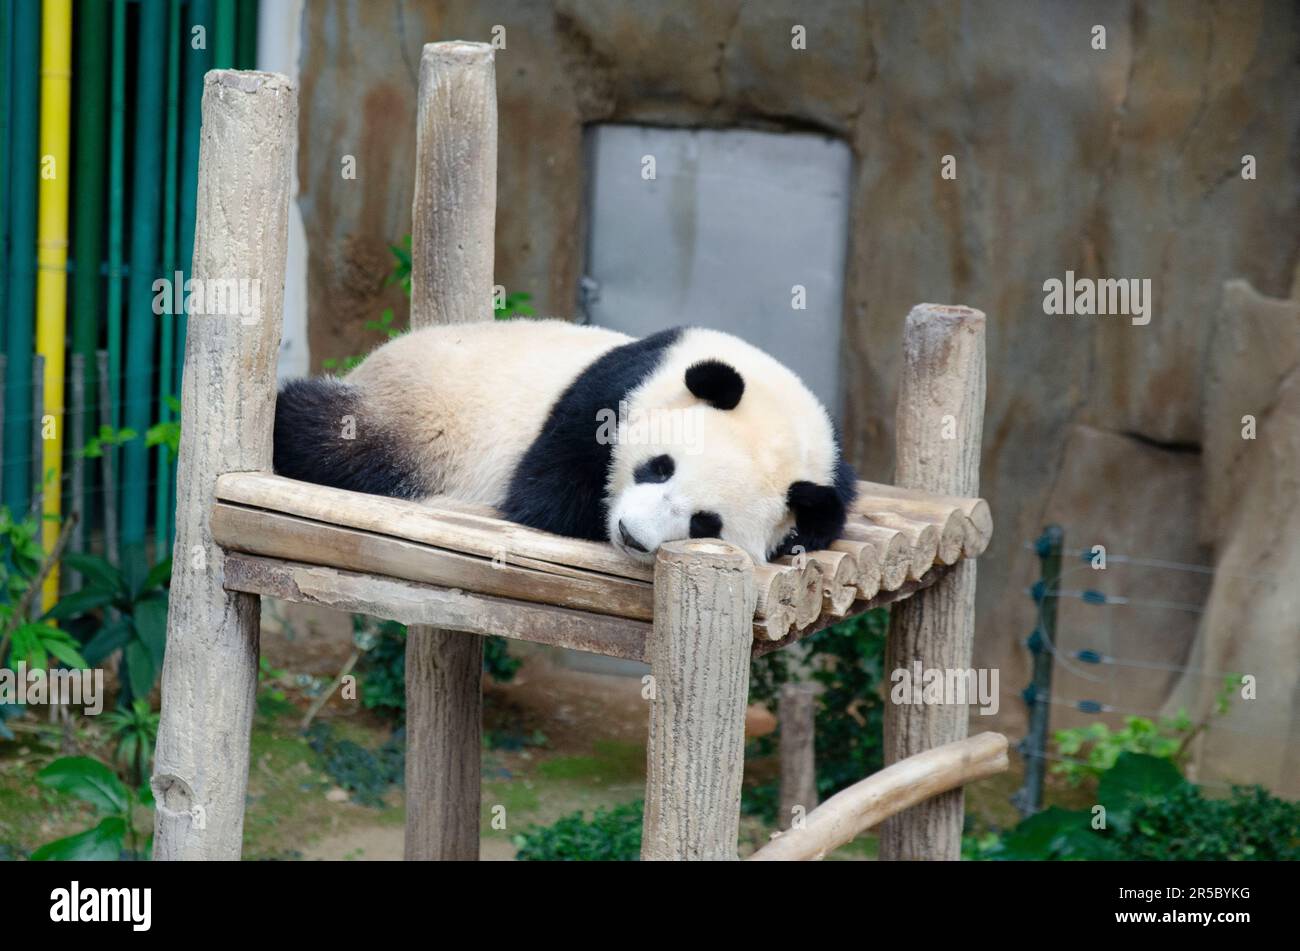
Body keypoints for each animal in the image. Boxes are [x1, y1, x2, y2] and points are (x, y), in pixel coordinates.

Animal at [273, 319, 856, 565]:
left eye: (705, 525)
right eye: (659, 467)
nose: (630, 535)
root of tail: (375, 363)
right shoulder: (611, 392)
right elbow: (545, 496)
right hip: (422, 419)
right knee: (328, 436)